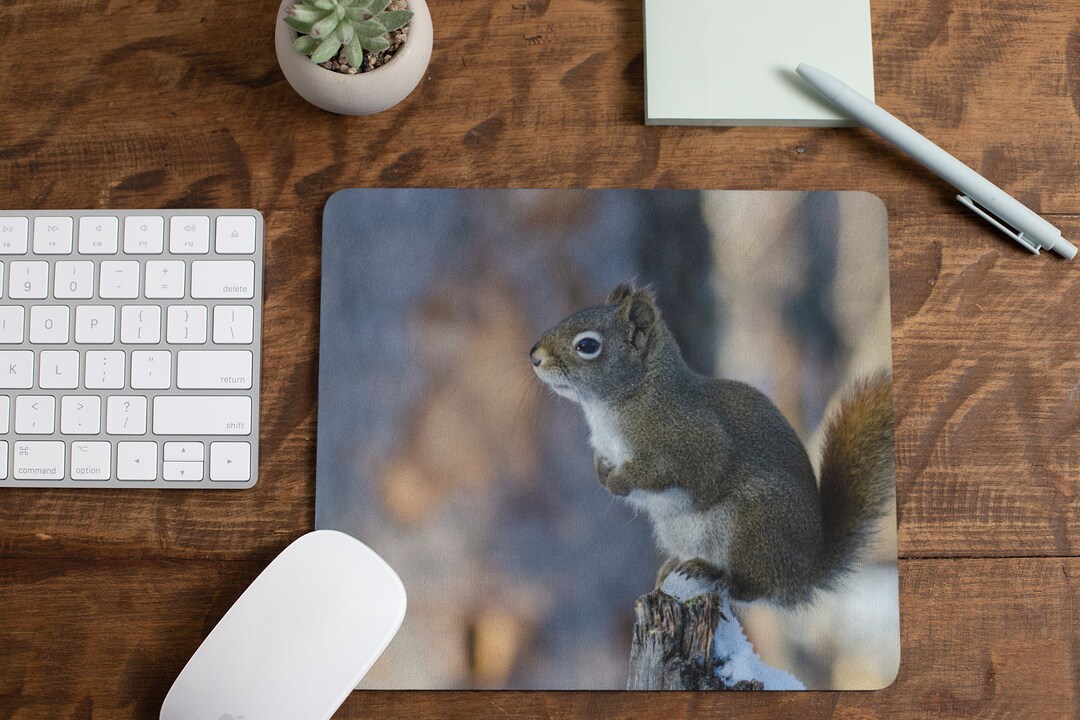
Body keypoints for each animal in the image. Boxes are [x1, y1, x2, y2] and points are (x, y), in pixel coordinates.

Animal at [529, 283, 895, 607]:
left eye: (587, 345)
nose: (534, 356)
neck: (628, 397)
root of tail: (804, 573)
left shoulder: (694, 443)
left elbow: (672, 471)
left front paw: (619, 482)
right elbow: (602, 461)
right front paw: (602, 473)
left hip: (753, 524)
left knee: (756, 588)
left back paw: (716, 574)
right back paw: (674, 567)